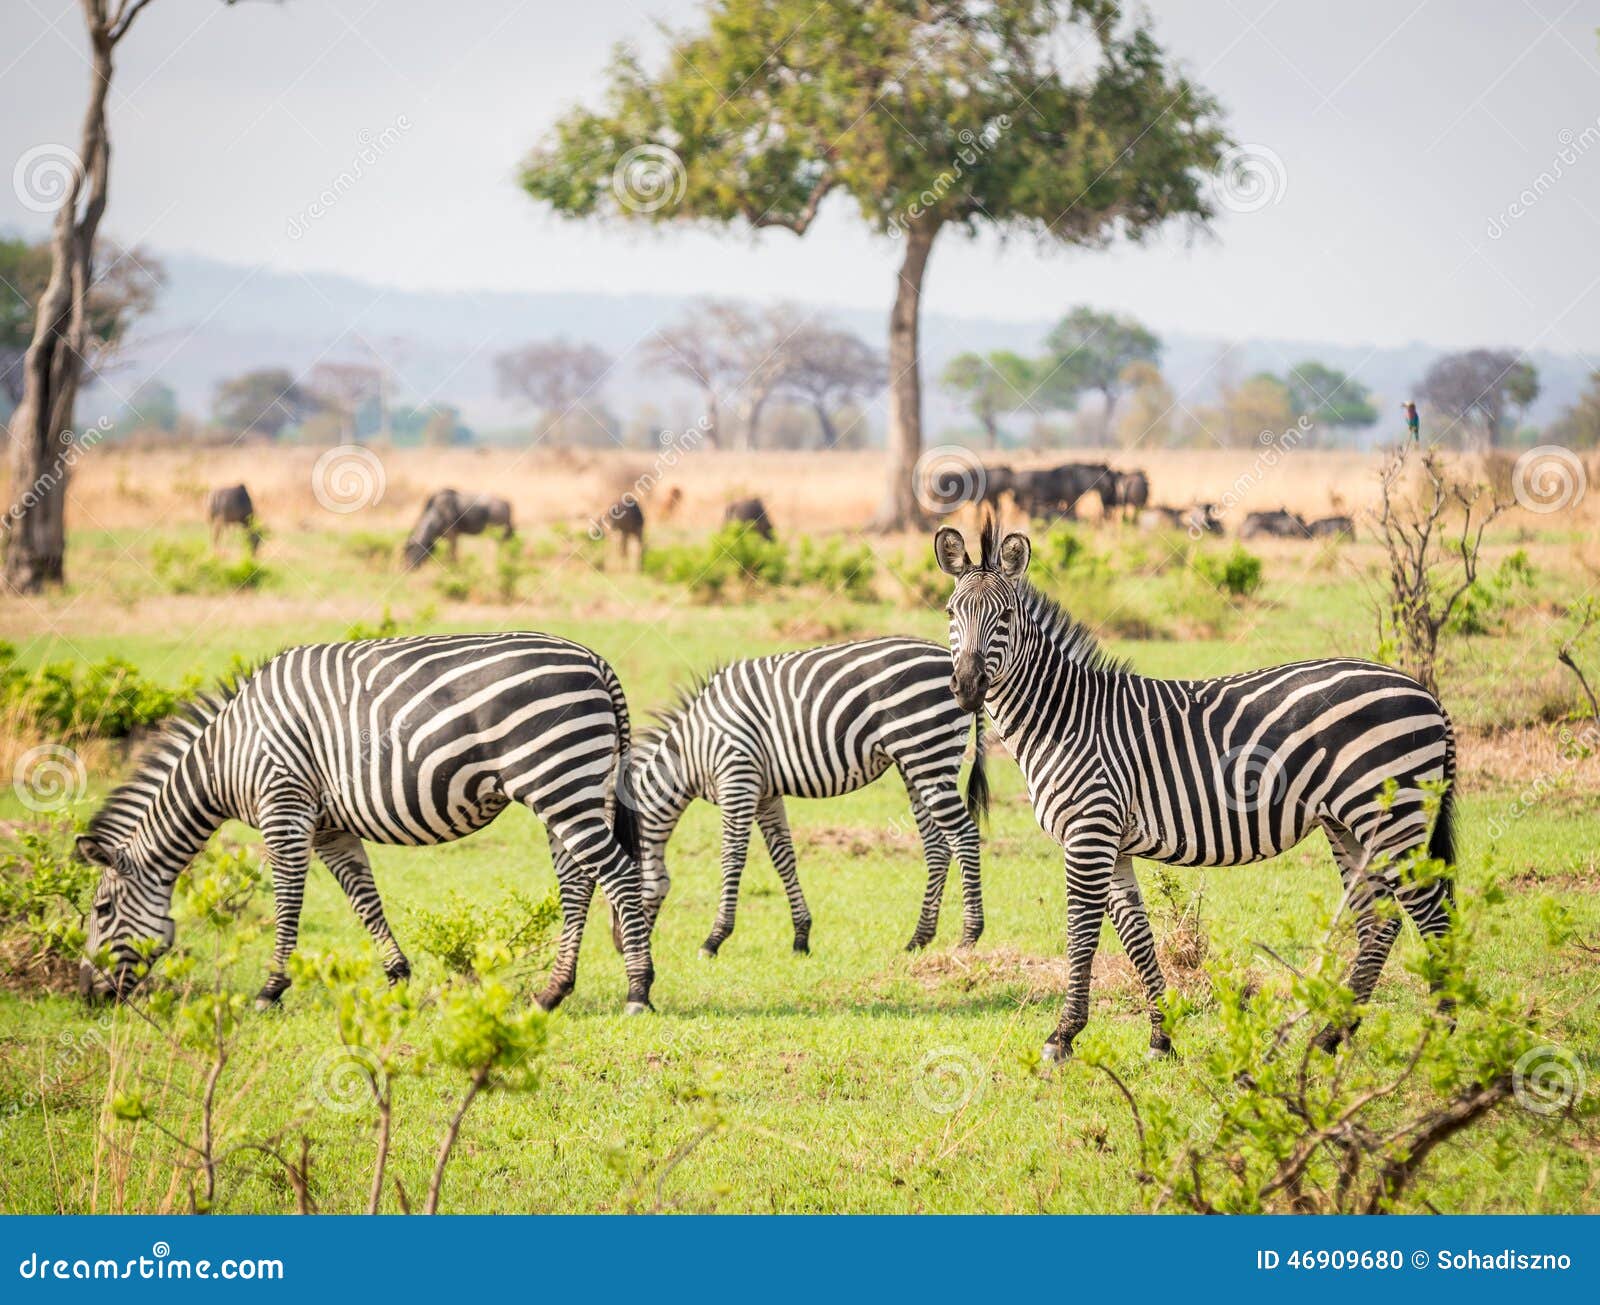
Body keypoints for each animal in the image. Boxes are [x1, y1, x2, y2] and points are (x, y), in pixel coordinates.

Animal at [77, 632, 655, 1015]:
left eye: (102, 911)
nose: (85, 995)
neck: (228, 756)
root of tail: (596, 660)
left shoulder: (284, 806)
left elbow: (288, 903)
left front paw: (269, 991)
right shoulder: (329, 827)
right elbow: (363, 899)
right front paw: (397, 977)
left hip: (560, 781)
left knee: (620, 876)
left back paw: (638, 991)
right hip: (565, 790)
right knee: (578, 883)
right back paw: (553, 992)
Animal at [628, 637, 989, 957]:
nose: (620, 948)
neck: (692, 750)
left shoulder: (737, 778)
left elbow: (732, 857)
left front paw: (714, 939)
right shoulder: (766, 794)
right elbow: (783, 857)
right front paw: (801, 936)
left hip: (927, 754)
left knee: (964, 835)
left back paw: (970, 936)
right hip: (918, 763)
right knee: (937, 844)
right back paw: (919, 938)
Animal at [934, 513, 1457, 1061]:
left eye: (1005, 616)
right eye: (950, 612)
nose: (967, 688)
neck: (1063, 718)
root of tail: (1423, 691)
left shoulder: (1089, 834)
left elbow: (1080, 935)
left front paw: (1062, 1037)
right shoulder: (1112, 843)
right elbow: (1137, 937)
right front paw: (1161, 1038)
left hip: (1394, 816)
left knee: (1429, 913)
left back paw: (1441, 1033)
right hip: (1351, 826)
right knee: (1380, 921)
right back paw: (1334, 1034)